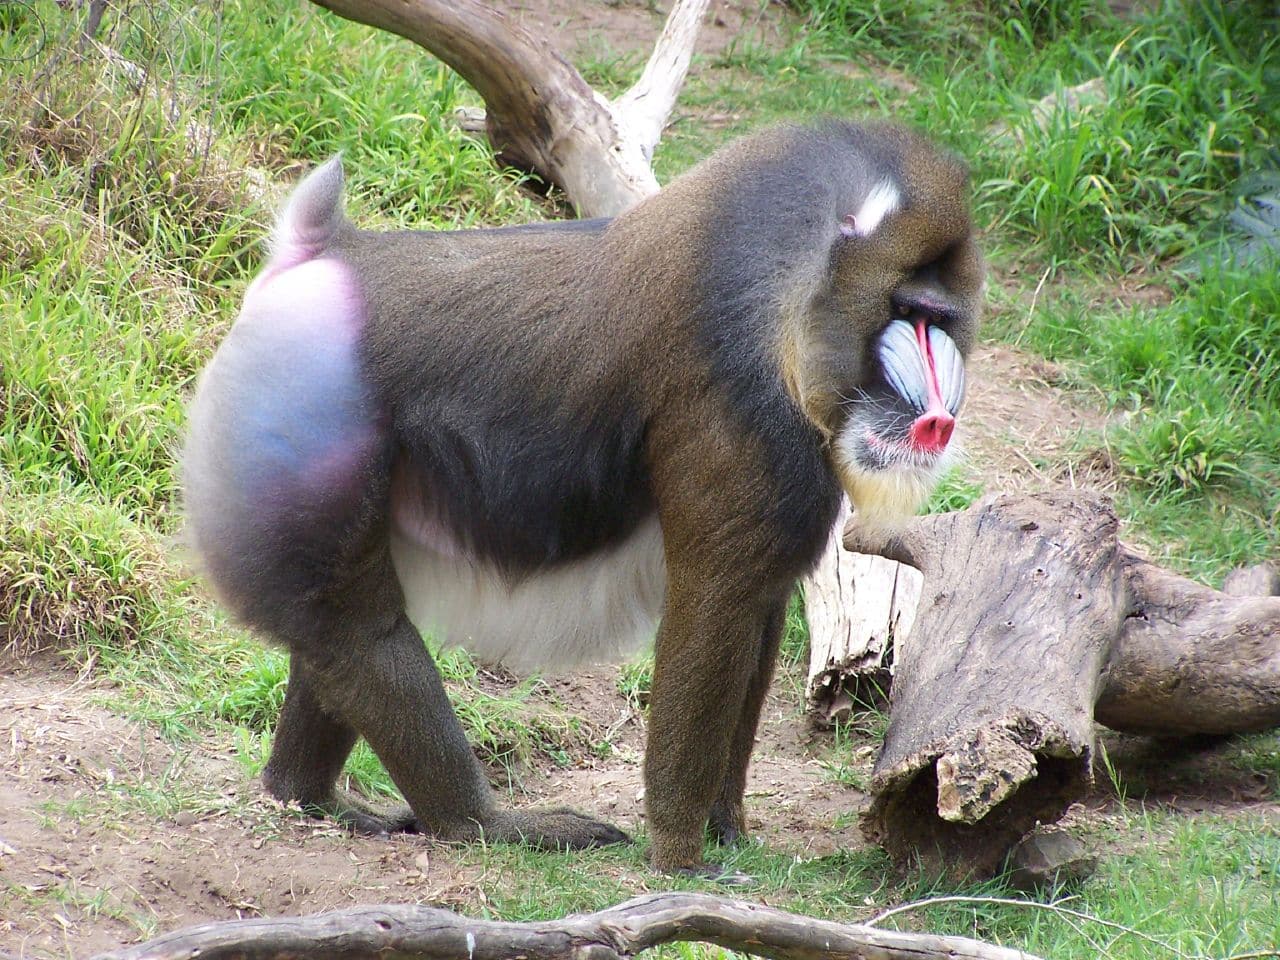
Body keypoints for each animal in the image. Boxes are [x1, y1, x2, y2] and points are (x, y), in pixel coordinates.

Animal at [182, 119, 982, 877]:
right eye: (908, 310)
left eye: (942, 320)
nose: (938, 419)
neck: (787, 299)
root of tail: (317, 256)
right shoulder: (735, 419)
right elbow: (710, 614)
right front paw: (682, 857)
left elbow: (755, 625)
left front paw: (728, 830)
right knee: (362, 635)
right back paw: (487, 824)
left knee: (326, 644)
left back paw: (306, 793)